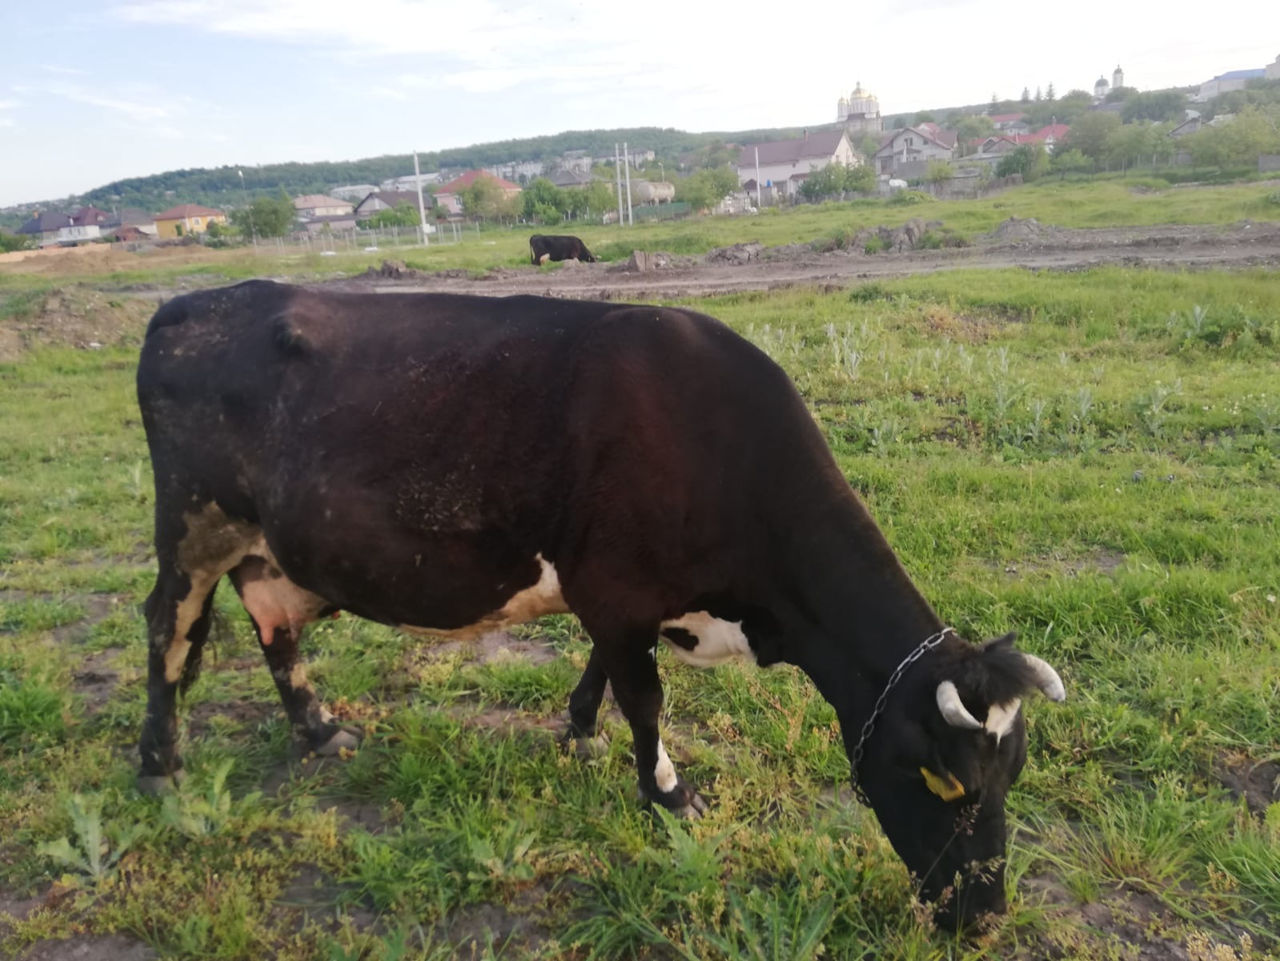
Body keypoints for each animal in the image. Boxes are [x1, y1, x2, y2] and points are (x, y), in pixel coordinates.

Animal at [135, 280, 1065, 932]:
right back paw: (161, 766)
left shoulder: (617, 595)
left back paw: (319, 729)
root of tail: (187, 304)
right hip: (191, 523)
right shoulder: (616, 589)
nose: (986, 920)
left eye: (1014, 778)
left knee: (273, 628)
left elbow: (603, 672)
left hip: (262, 545)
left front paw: (579, 728)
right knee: (170, 631)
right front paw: (669, 793)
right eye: (946, 784)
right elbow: (645, 698)